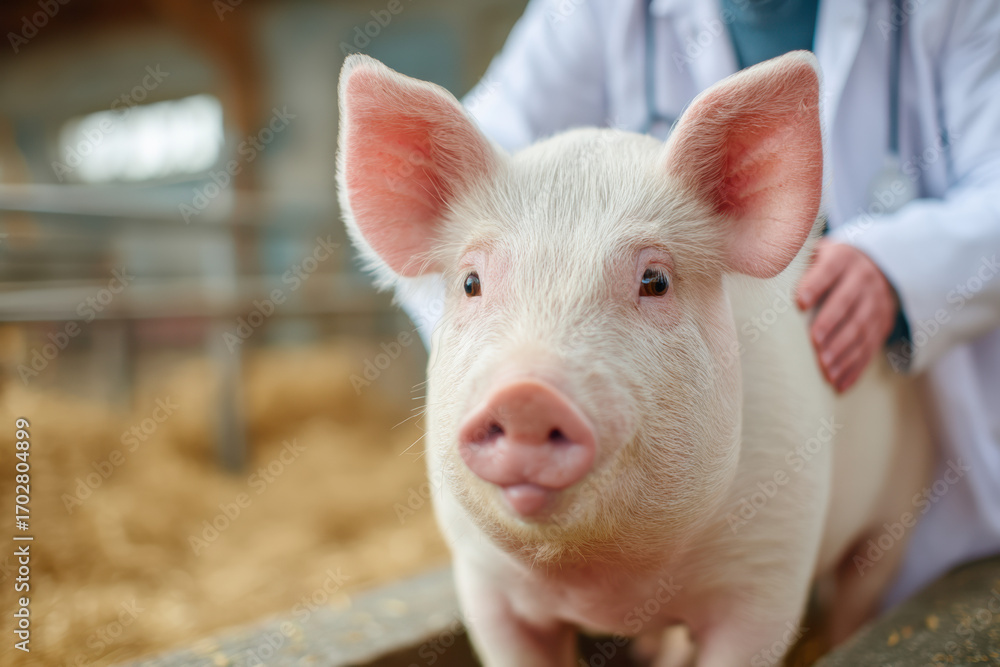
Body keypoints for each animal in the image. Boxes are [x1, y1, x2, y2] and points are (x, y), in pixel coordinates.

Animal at [336, 51, 932, 666]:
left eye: (655, 280)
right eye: (471, 282)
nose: (528, 395)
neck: (603, 585)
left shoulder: (772, 564)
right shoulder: (483, 582)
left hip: (902, 500)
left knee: (861, 591)